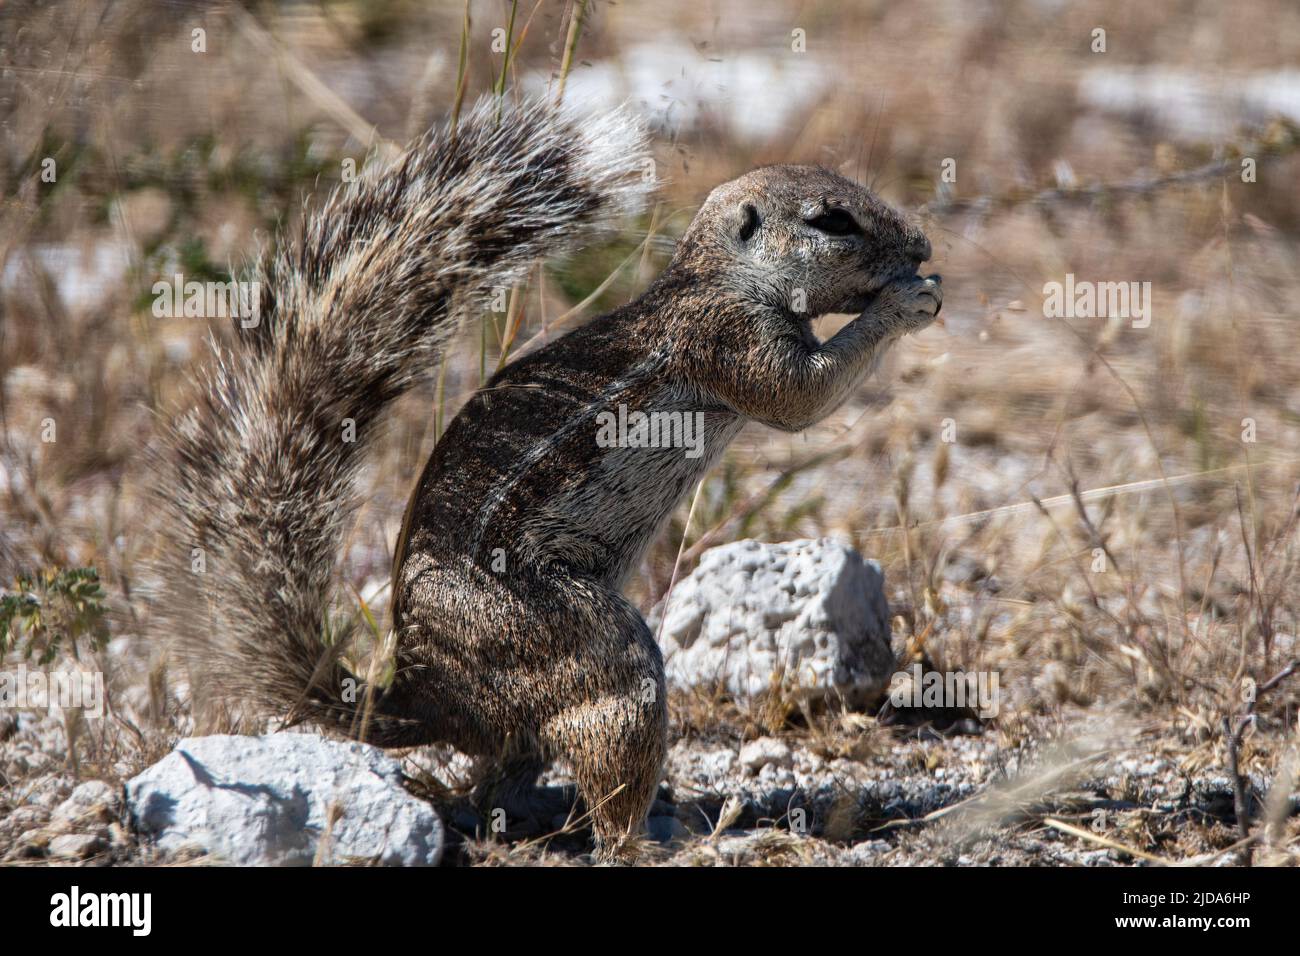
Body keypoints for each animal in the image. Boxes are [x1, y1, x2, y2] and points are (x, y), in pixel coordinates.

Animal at [155, 96, 941, 862]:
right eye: (829, 219)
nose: (922, 247)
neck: (718, 275)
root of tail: (424, 694)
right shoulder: (730, 339)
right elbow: (802, 395)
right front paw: (906, 301)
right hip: (591, 649)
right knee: (609, 800)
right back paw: (680, 841)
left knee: (499, 773)